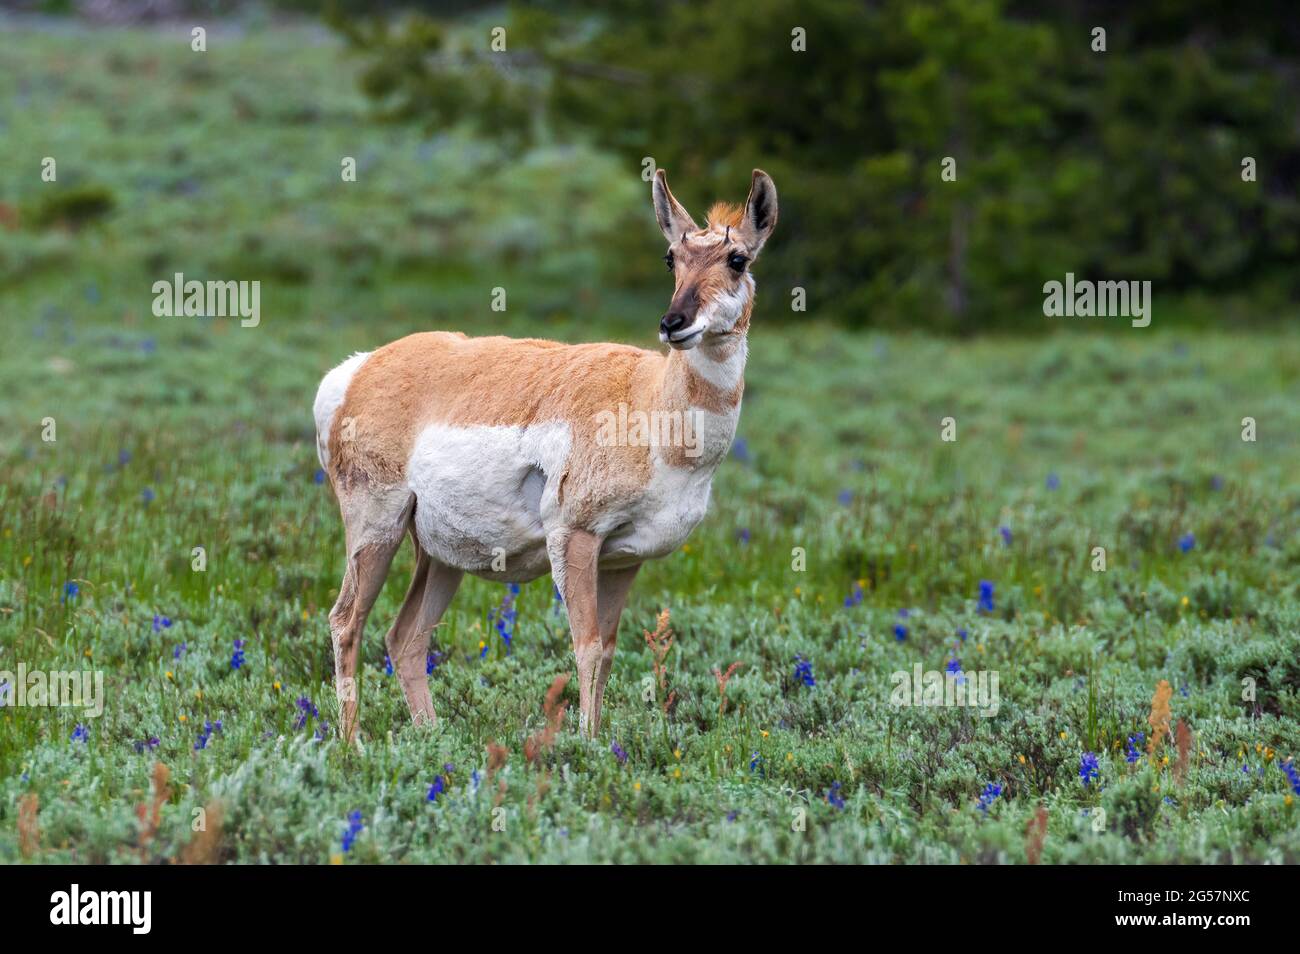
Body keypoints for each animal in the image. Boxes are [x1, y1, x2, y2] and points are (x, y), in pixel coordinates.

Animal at [313, 168, 777, 740]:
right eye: (671, 257)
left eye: (738, 260)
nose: (674, 322)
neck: (650, 404)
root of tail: (359, 368)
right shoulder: (575, 537)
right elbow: (586, 647)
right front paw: (585, 745)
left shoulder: (625, 559)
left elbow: (608, 651)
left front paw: (596, 740)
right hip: (377, 528)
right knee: (346, 622)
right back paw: (353, 745)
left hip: (441, 555)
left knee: (405, 638)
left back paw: (432, 740)